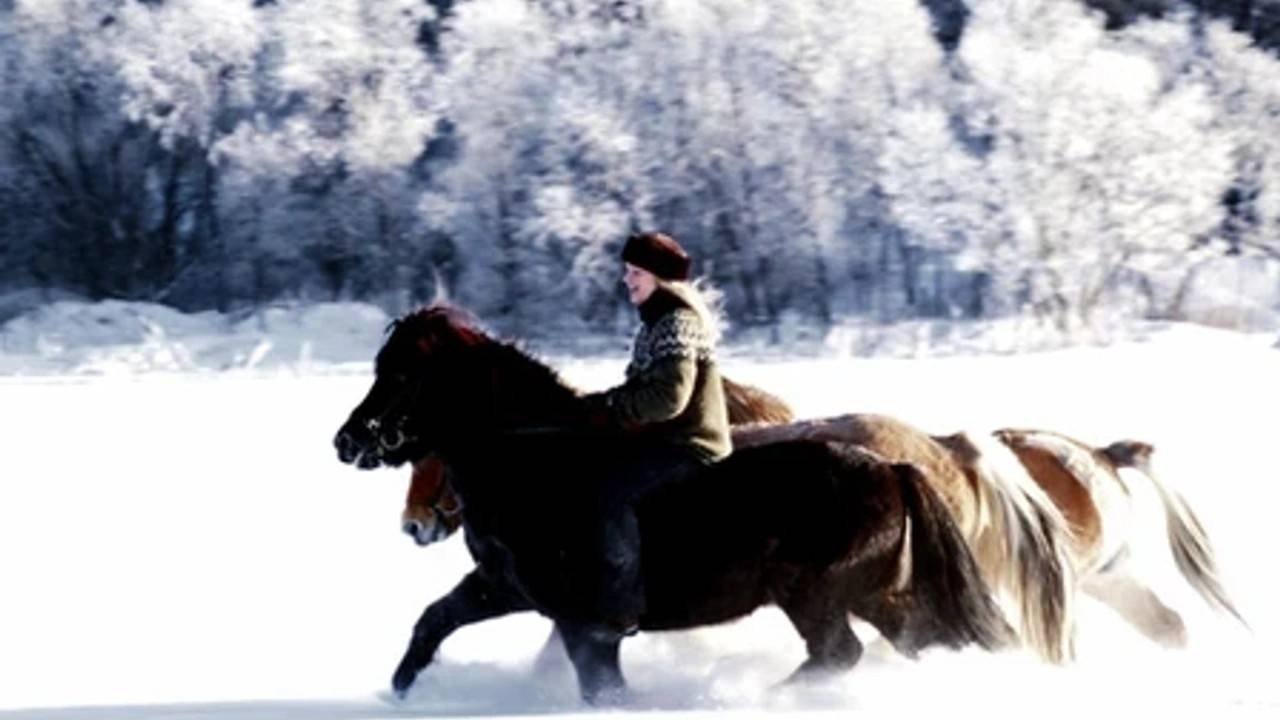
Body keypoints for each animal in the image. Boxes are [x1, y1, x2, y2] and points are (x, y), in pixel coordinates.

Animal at [333, 305, 1013, 704]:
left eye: (400, 374)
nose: (347, 441)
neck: (541, 462)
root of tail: (895, 470)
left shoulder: (585, 626)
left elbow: (602, 690)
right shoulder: (505, 587)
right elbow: (432, 623)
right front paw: (396, 697)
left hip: (816, 597)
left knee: (837, 654)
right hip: (874, 596)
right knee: (917, 641)